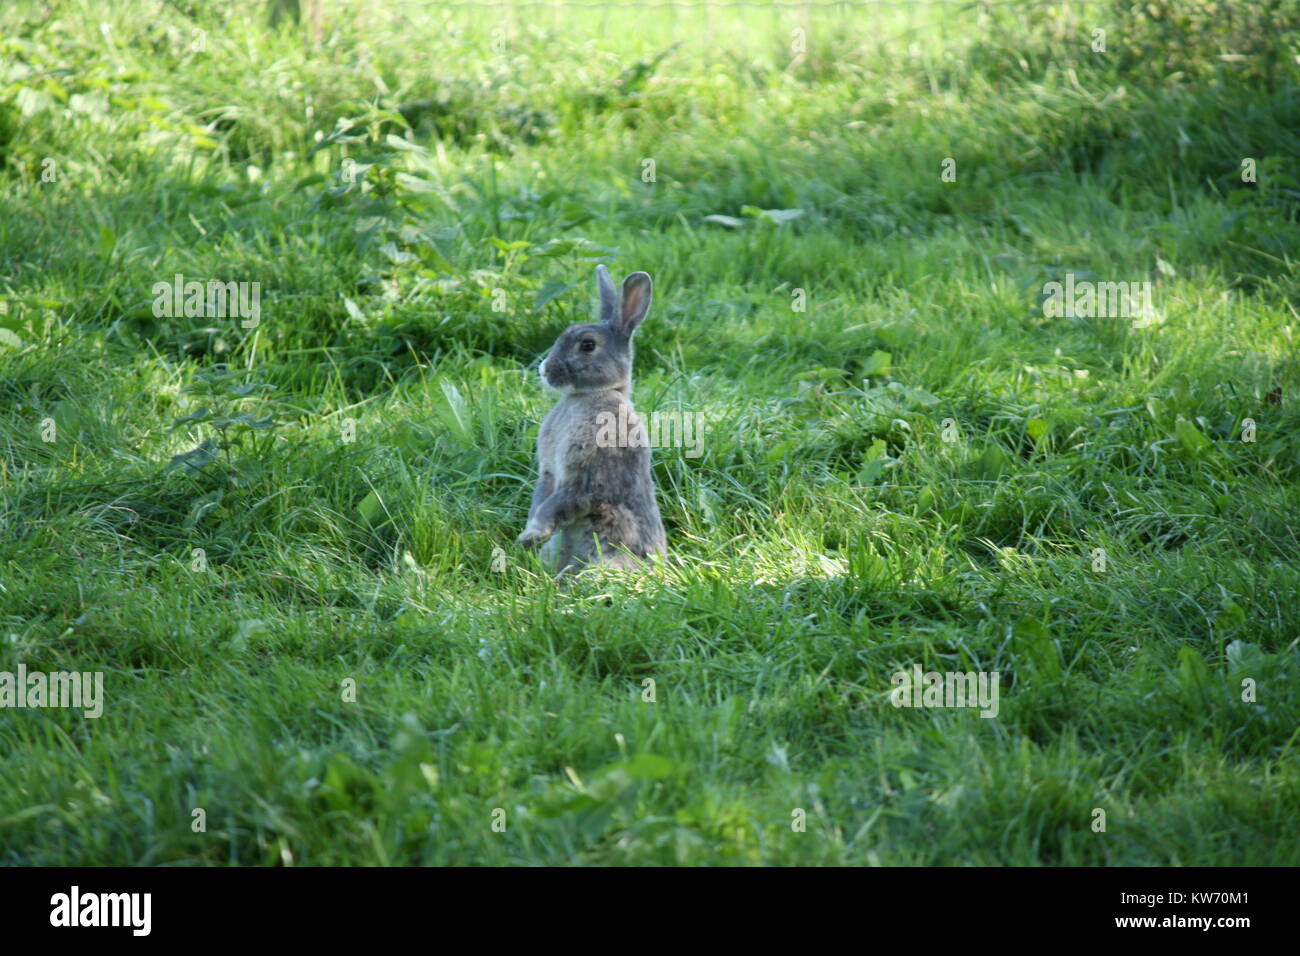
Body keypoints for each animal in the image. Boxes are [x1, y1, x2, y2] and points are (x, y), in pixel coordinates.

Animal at [517, 264, 667, 573]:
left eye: (587, 345)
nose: (544, 370)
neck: (590, 395)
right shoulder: (549, 472)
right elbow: (542, 496)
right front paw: (529, 536)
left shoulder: (587, 477)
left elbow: (558, 503)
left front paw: (532, 535)